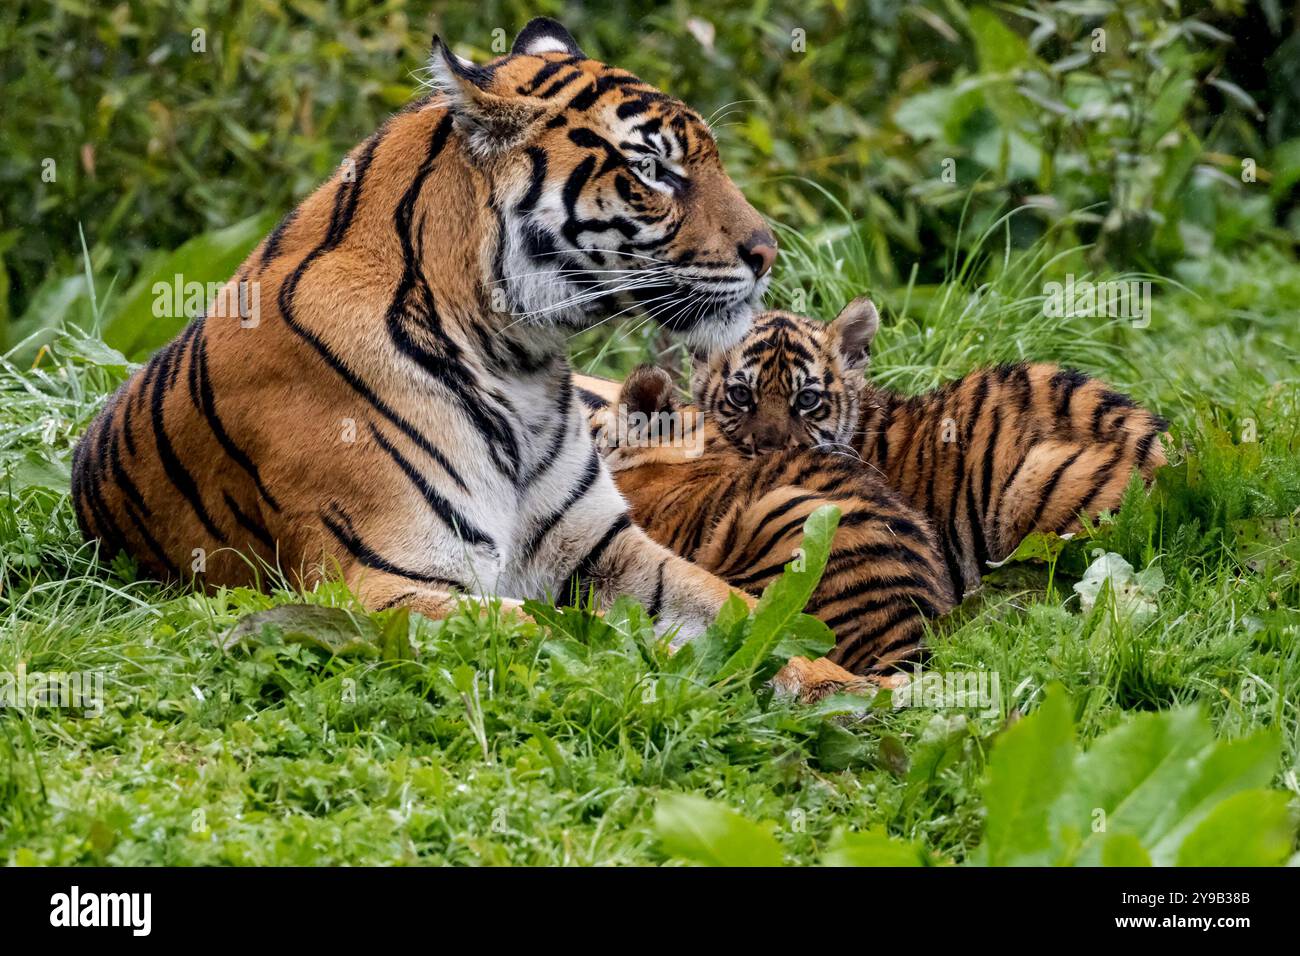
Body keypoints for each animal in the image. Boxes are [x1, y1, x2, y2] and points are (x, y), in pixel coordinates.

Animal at [69, 18, 784, 646]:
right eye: (653, 171)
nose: (768, 251)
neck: (516, 360)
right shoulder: (388, 583)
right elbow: (591, 643)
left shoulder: (605, 549)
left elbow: (745, 610)